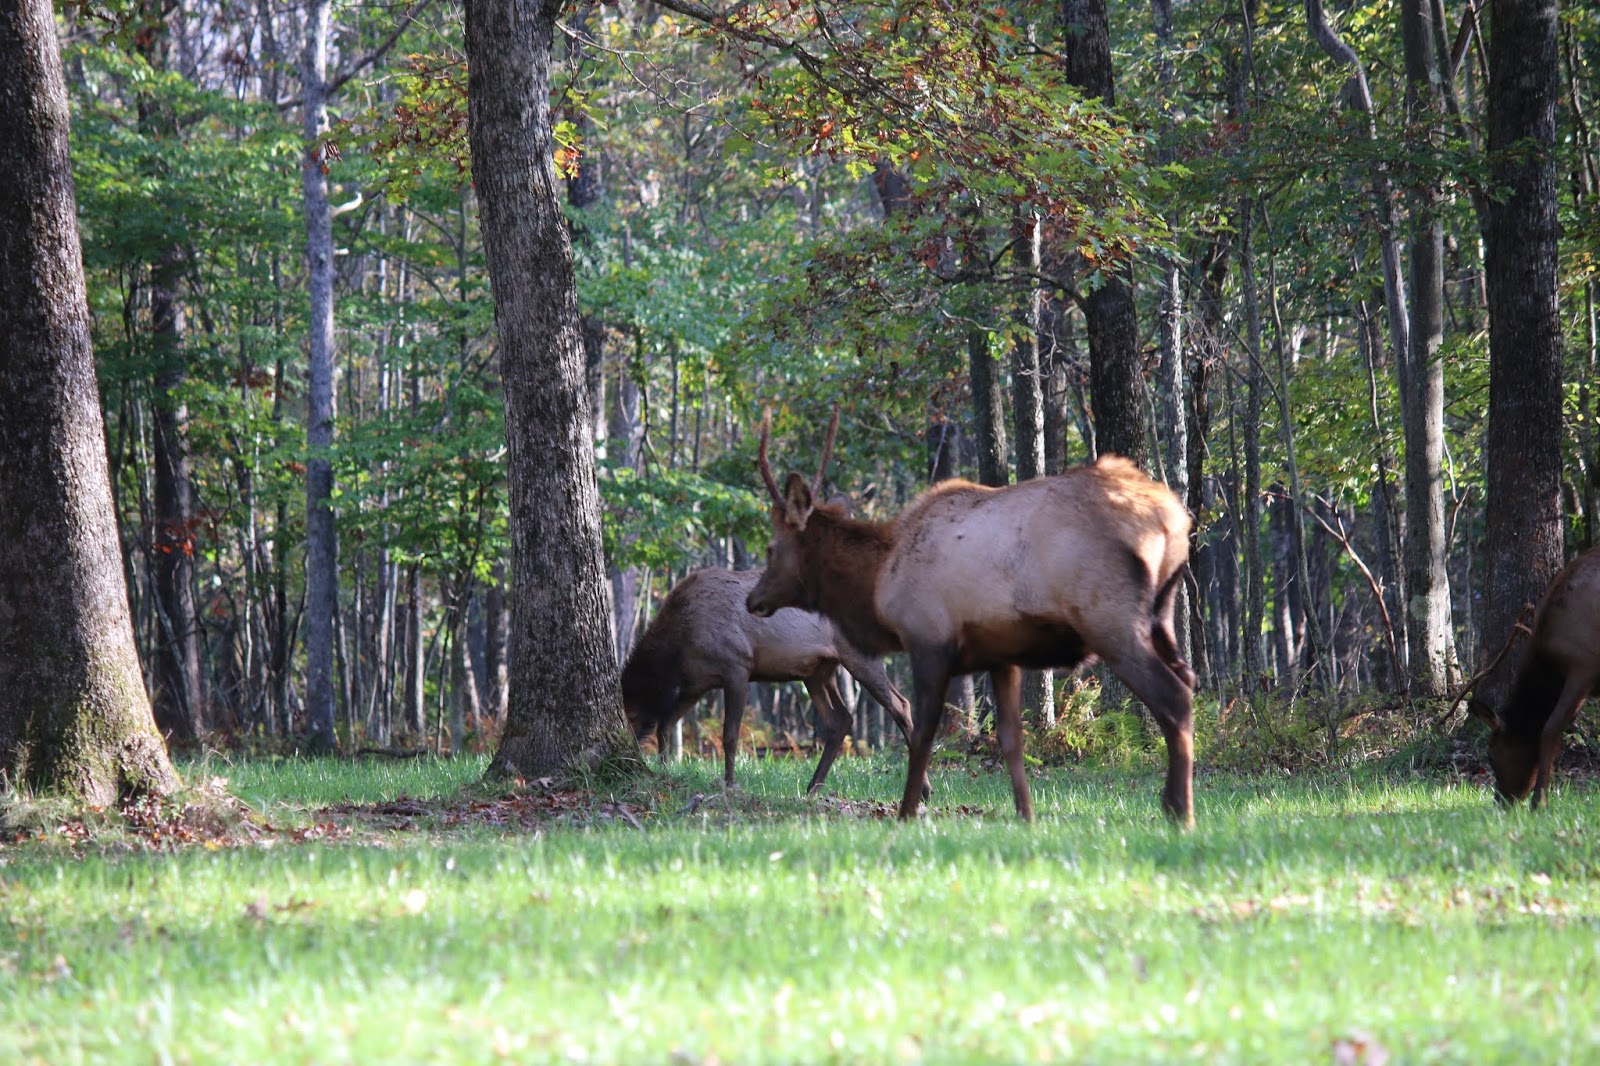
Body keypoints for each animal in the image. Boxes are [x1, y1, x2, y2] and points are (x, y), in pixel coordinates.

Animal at [620, 566, 917, 794]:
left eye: (631, 715)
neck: (676, 653)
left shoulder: (737, 667)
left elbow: (729, 734)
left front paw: (730, 784)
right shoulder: (696, 683)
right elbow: (665, 723)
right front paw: (664, 770)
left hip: (858, 656)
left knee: (901, 704)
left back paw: (920, 788)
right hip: (818, 671)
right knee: (841, 719)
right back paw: (813, 787)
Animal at [746, 410, 1197, 827]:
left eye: (771, 548)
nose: (753, 600)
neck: (877, 581)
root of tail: (1174, 519)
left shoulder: (928, 639)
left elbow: (922, 733)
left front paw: (907, 812)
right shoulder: (1001, 655)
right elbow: (1011, 739)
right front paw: (1026, 815)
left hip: (1110, 620)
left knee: (1174, 698)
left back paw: (1179, 810)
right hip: (1162, 619)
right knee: (1188, 682)